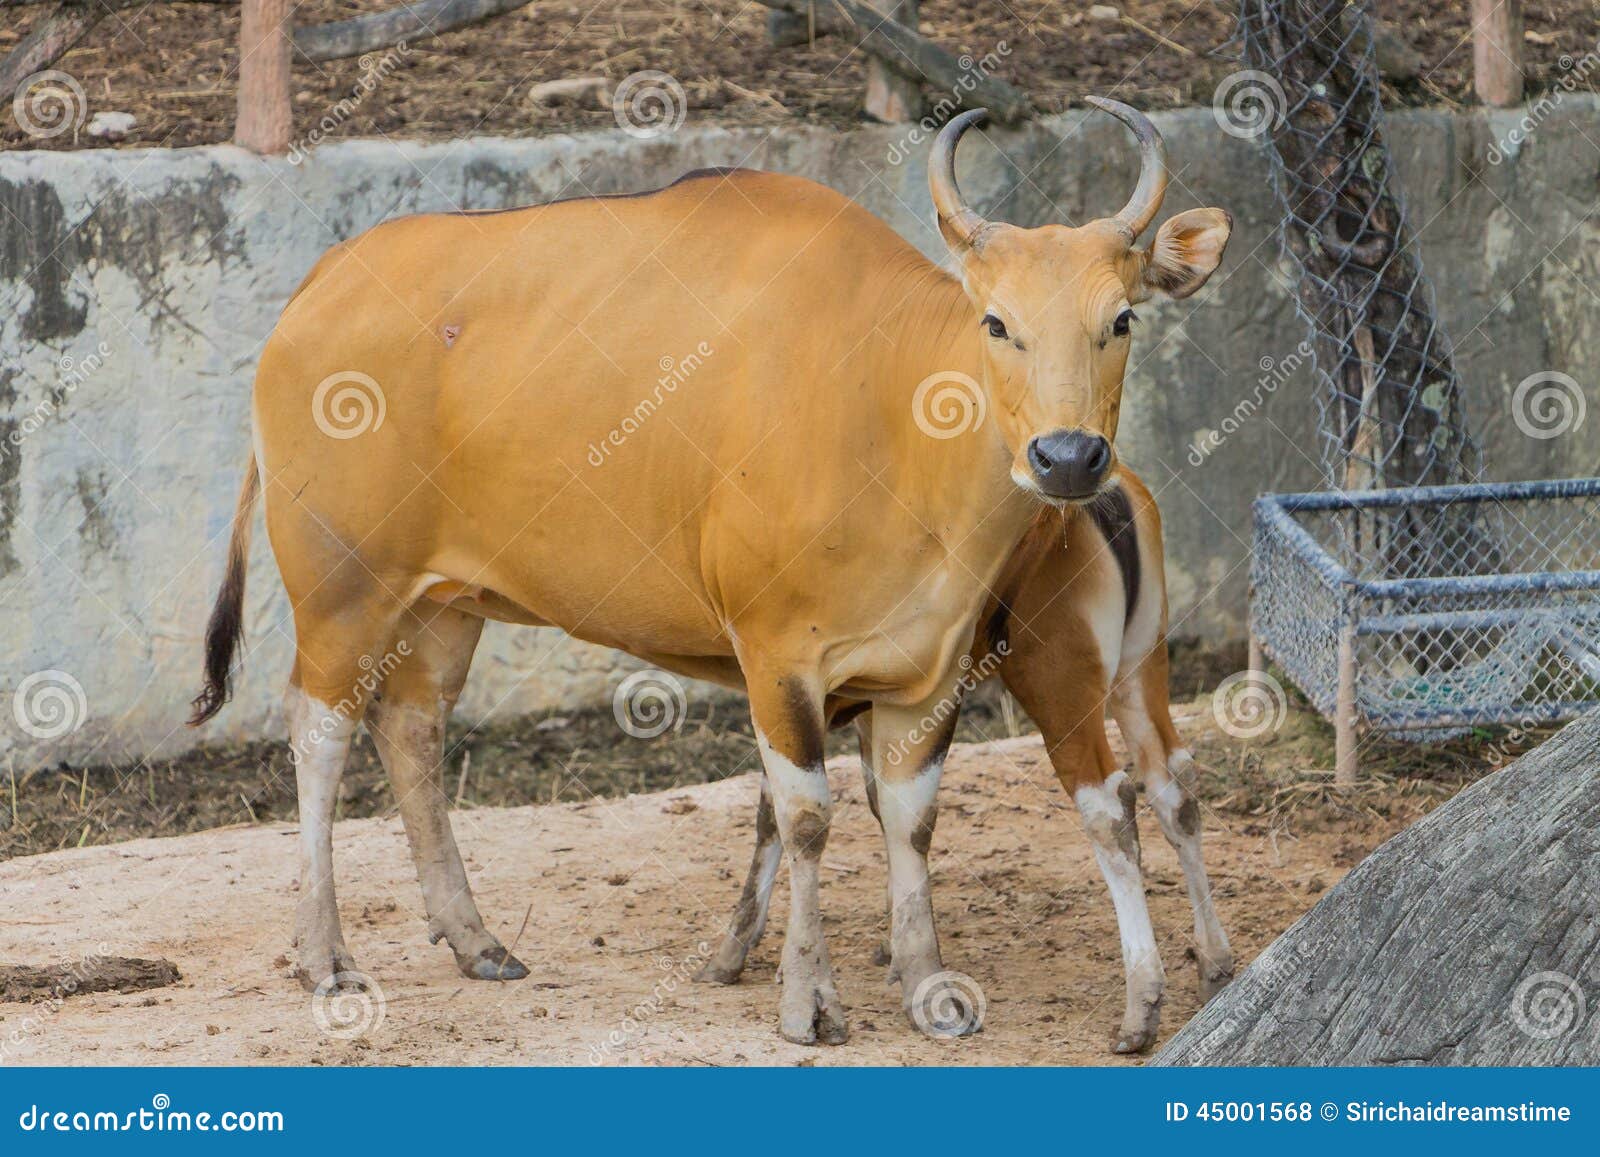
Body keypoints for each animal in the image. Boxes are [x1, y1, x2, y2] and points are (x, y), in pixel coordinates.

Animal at [698, 467, 1233, 1053]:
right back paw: (1215, 965)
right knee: (1174, 780)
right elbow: (866, 803)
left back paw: (1140, 1008)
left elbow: (799, 812)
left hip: (1059, 679)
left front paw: (739, 955)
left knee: (1110, 802)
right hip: (1144, 662)